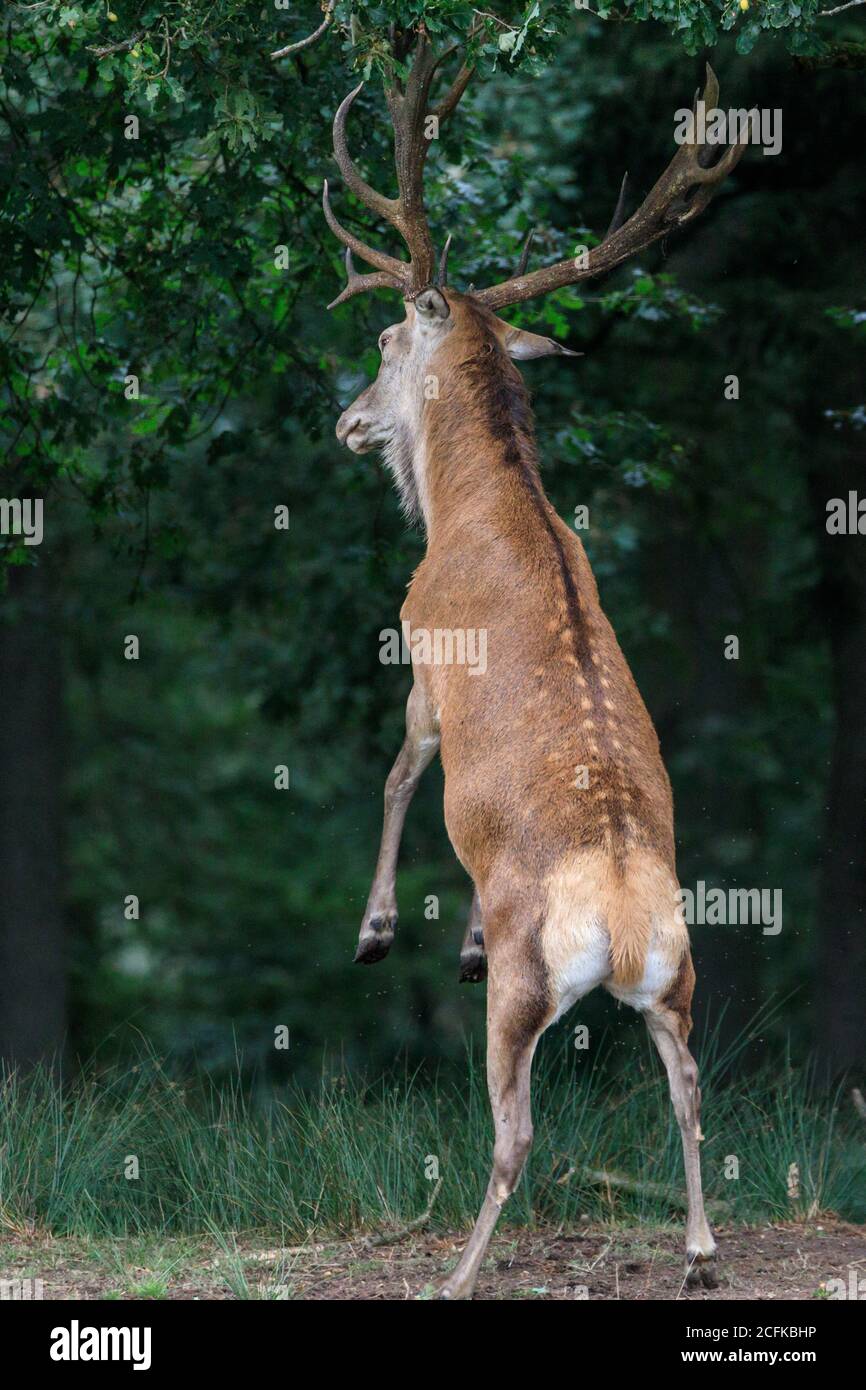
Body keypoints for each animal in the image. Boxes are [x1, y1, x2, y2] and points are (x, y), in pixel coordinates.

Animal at [324, 30, 745, 1300]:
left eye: (382, 339)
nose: (346, 421)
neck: (474, 508)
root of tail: (618, 922)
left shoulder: (418, 642)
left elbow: (400, 773)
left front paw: (377, 930)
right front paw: (441, 935)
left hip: (526, 994)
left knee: (514, 1131)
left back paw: (458, 1271)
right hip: (680, 980)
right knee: (690, 1088)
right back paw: (697, 1248)